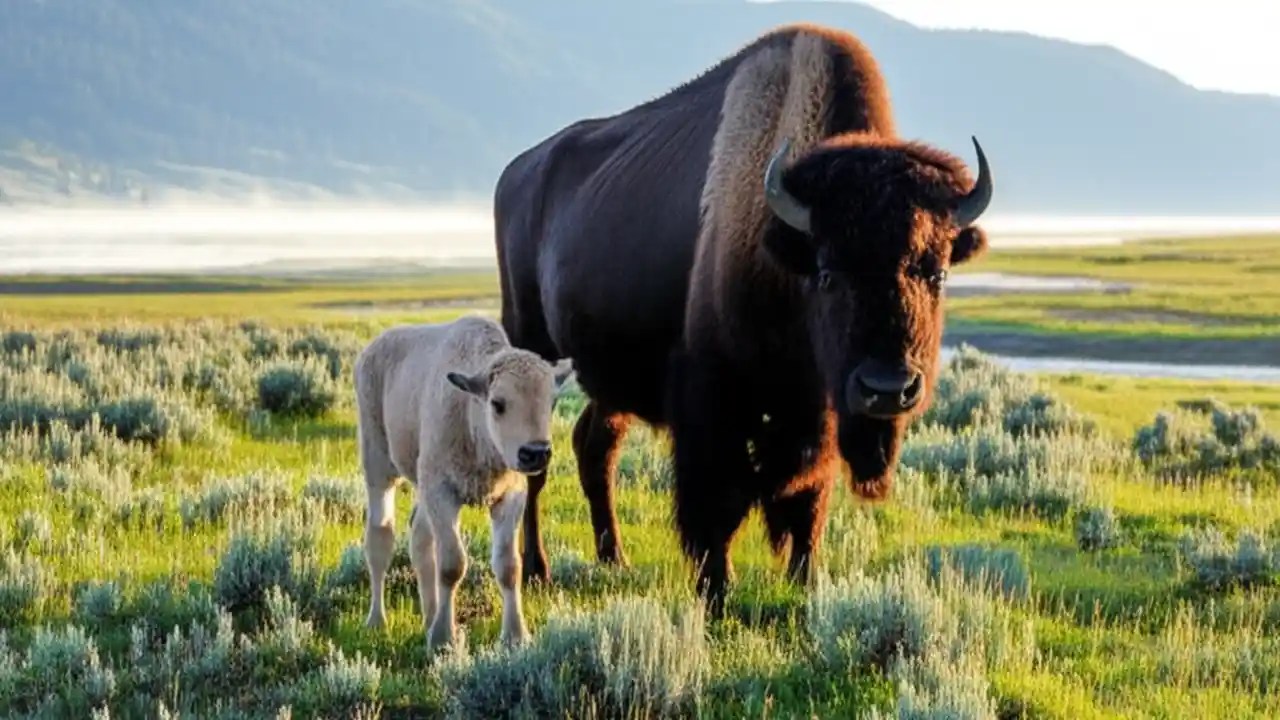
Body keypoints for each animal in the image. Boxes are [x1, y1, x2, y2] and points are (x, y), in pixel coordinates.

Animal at [354, 316, 573, 650]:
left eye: (551, 401)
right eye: (498, 403)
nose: (535, 453)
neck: (471, 414)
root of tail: (371, 351)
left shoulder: (509, 498)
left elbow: (509, 565)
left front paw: (515, 636)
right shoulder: (443, 493)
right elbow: (451, 564)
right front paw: (444, 639)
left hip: (422, 485)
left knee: (420, 537)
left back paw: (429, 617)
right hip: (378, 466)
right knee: (380, 536)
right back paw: (377, 621)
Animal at [493, 23, 993, 613]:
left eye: (935, 272)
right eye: (828, 273)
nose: (887, 389)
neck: (784, 251)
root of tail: (517, 173)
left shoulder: (817, 415)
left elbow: (807, 503)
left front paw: (806, 586)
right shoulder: (711, 408)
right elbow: (719, 505)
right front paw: (715, 593)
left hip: (606, 379)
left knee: (596, 448)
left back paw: (614, 558)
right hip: (531, 344)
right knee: (534, 467)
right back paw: (537, 571)